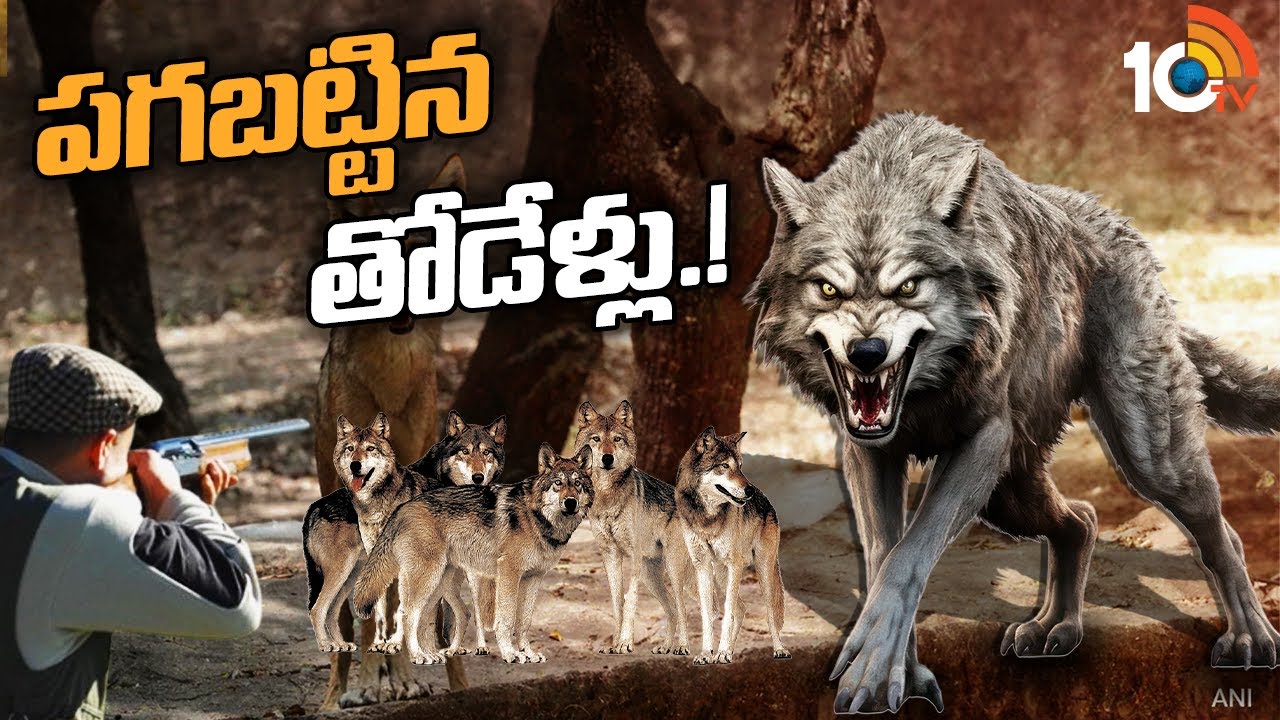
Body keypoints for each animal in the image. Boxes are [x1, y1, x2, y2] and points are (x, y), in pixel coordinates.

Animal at [312, 154, 467, 709]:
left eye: (424, 256)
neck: (391, 379)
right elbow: (365, 610)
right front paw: (368, 683)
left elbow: (401, 596)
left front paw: (403, 676)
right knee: (339, 621)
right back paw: (340, 690)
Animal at [352, 444, 594, 664]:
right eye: (558, 483)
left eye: (578, 484)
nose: (570, 502)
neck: (537, 517)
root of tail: (402, 507)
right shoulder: (509, 573)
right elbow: (505, 620)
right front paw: (511, 654)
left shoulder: (534, 578)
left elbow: (524, 622)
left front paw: (529, 653)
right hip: (427, 580)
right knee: (407, 615)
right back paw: (418, 656)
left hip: (438, 585)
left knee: (425, 619)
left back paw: (433, 655)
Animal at [574, 400, 691, 655]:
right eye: (596, 439)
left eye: (617, 439)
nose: (607, 458)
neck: (607, 496)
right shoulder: (610, 554)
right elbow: (617, 602)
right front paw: (614, 644)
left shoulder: (633, 555)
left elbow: (630, 600)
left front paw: (625, 643)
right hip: (651, 575)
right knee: (672, 608)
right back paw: (665, 647)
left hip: (673, 570)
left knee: (683, 607)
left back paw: (683, 647)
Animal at [674, 427, 789, 665]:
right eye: (725, 466)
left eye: (740, 466)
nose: (749, 491)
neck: (706, 518)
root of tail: (767, 500)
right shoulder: (702, 566)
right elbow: (707, 613)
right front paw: (707, 653)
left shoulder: (734, 564)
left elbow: (726, 613)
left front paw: (722, 652)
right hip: (720, 573)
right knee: (742, 608)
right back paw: (730, 650)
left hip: (763, 570)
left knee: (769, 613)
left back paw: (779, 649)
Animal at [748, 112, 1280, 714]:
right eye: (828, 289)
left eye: (908, 287)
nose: (866, 352)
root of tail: (1124, 232)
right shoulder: (869, 449)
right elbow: (886, 555)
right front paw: (897, 673)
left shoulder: (984, 438)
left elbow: (909, 557)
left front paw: (872, 668)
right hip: (1009, 497)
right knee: (1081, 520)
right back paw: (1056, 629)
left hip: (1147, 457)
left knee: (1221, 531)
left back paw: (1250, 638)